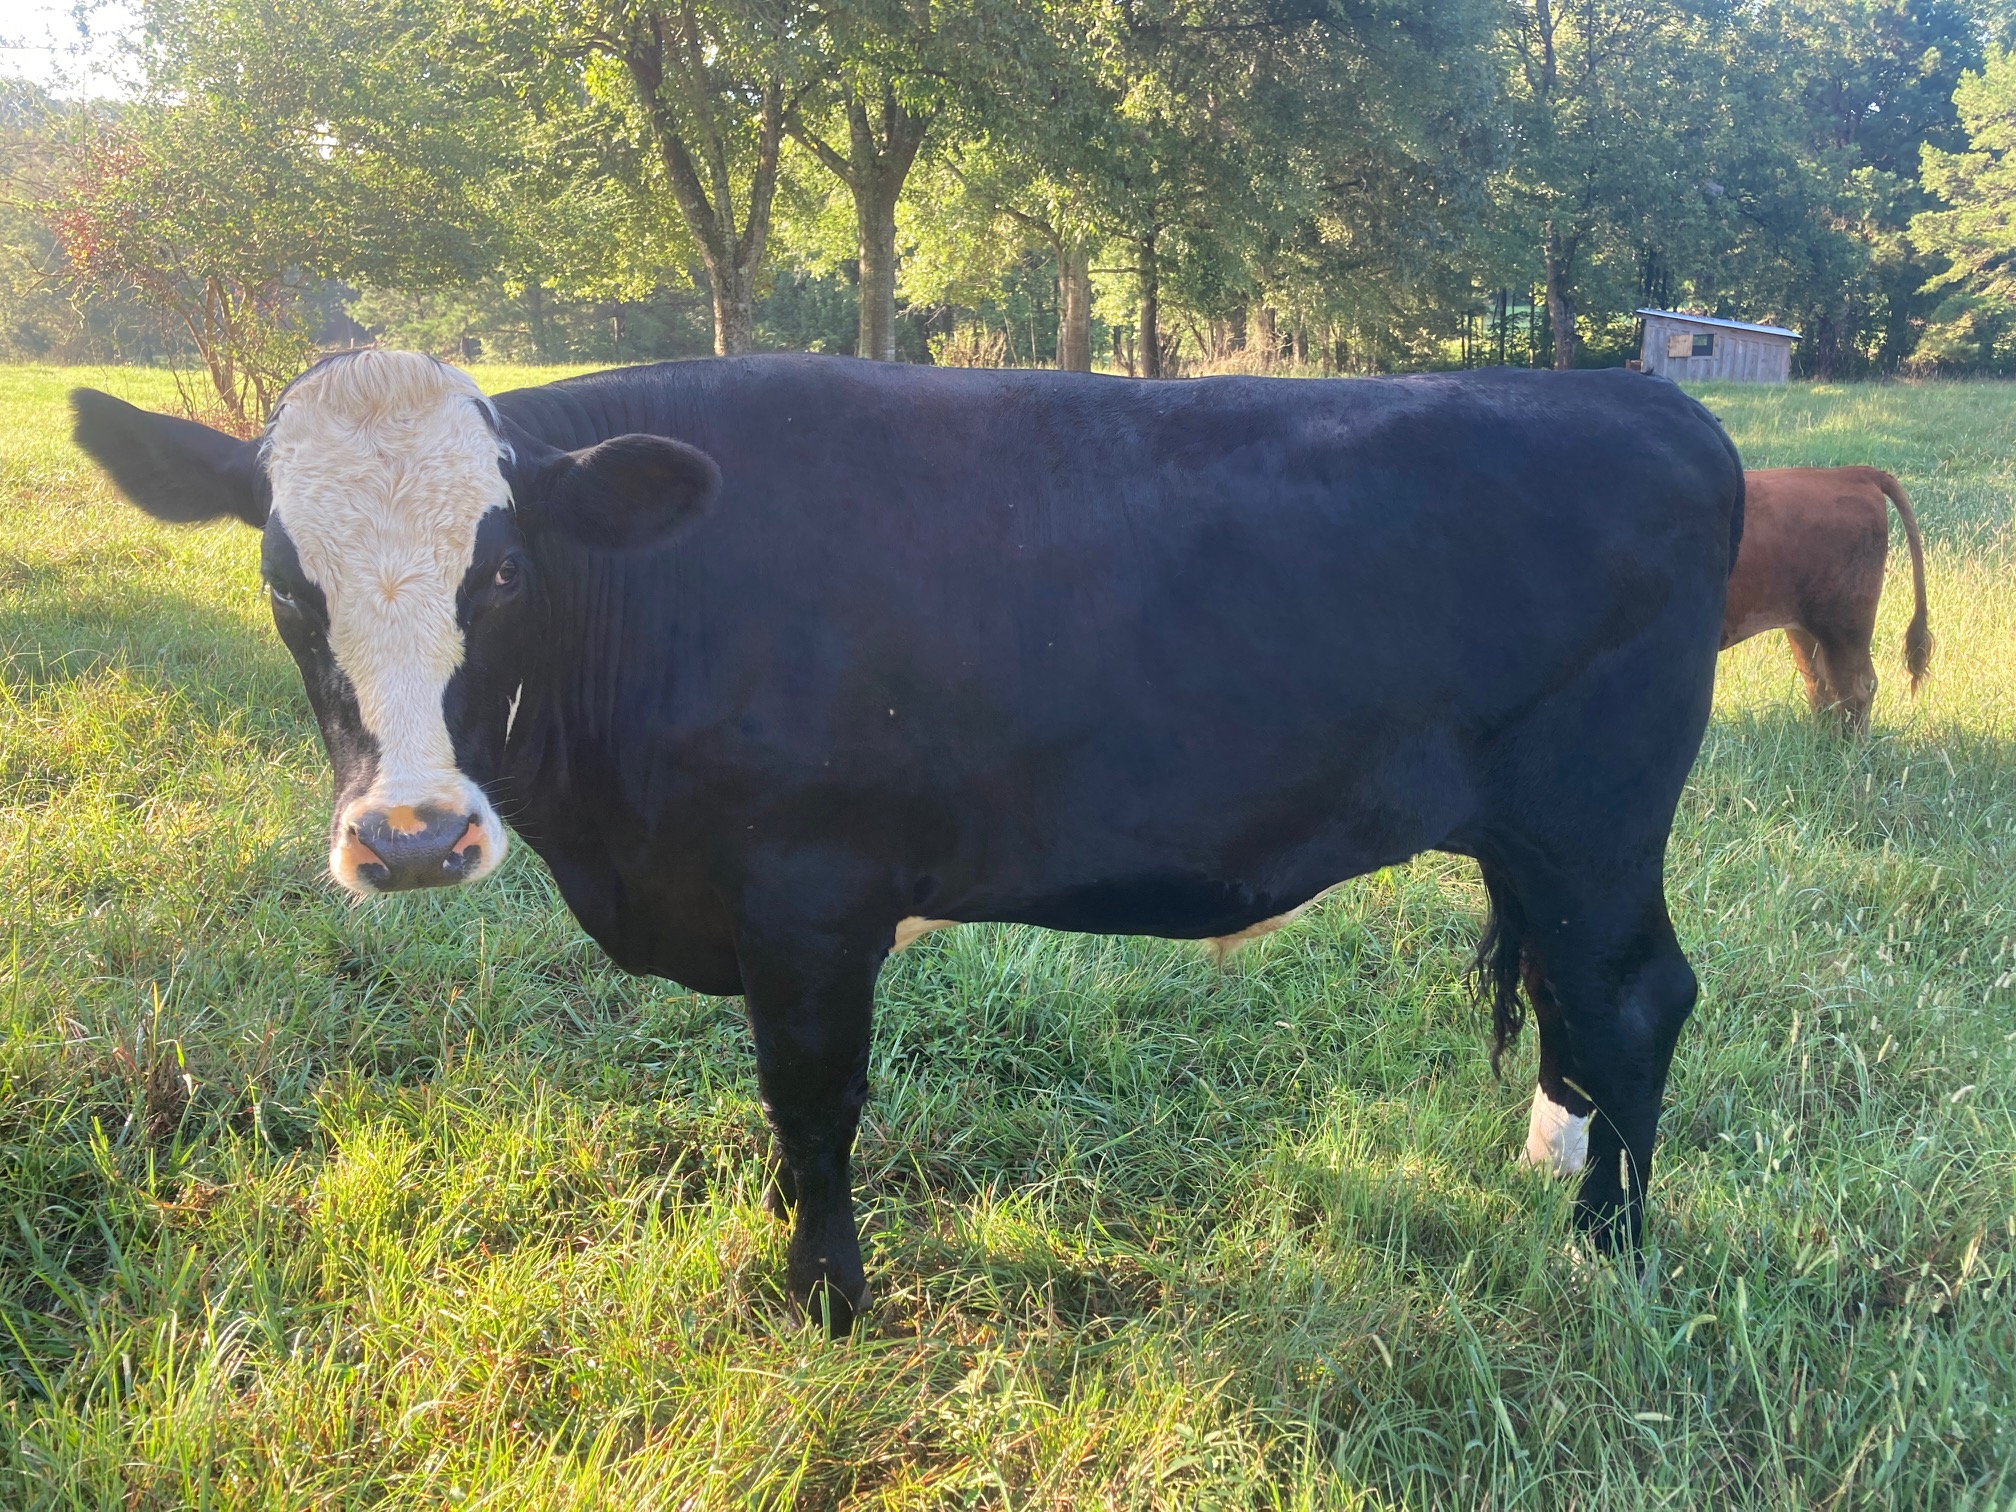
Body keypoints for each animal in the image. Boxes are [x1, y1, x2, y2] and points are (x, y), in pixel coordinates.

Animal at [72, 352, 1743, 1334]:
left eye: (500, 574)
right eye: (286, 582)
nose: (413, 837)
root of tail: (1636, 395)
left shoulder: (809, 894)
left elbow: (811, 1098)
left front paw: (822, 1296)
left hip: (1596, 809)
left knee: (1636, 996)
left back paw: (1605, 1251)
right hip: (1533, 834)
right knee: (1577, 1002)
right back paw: (1554, 1164)